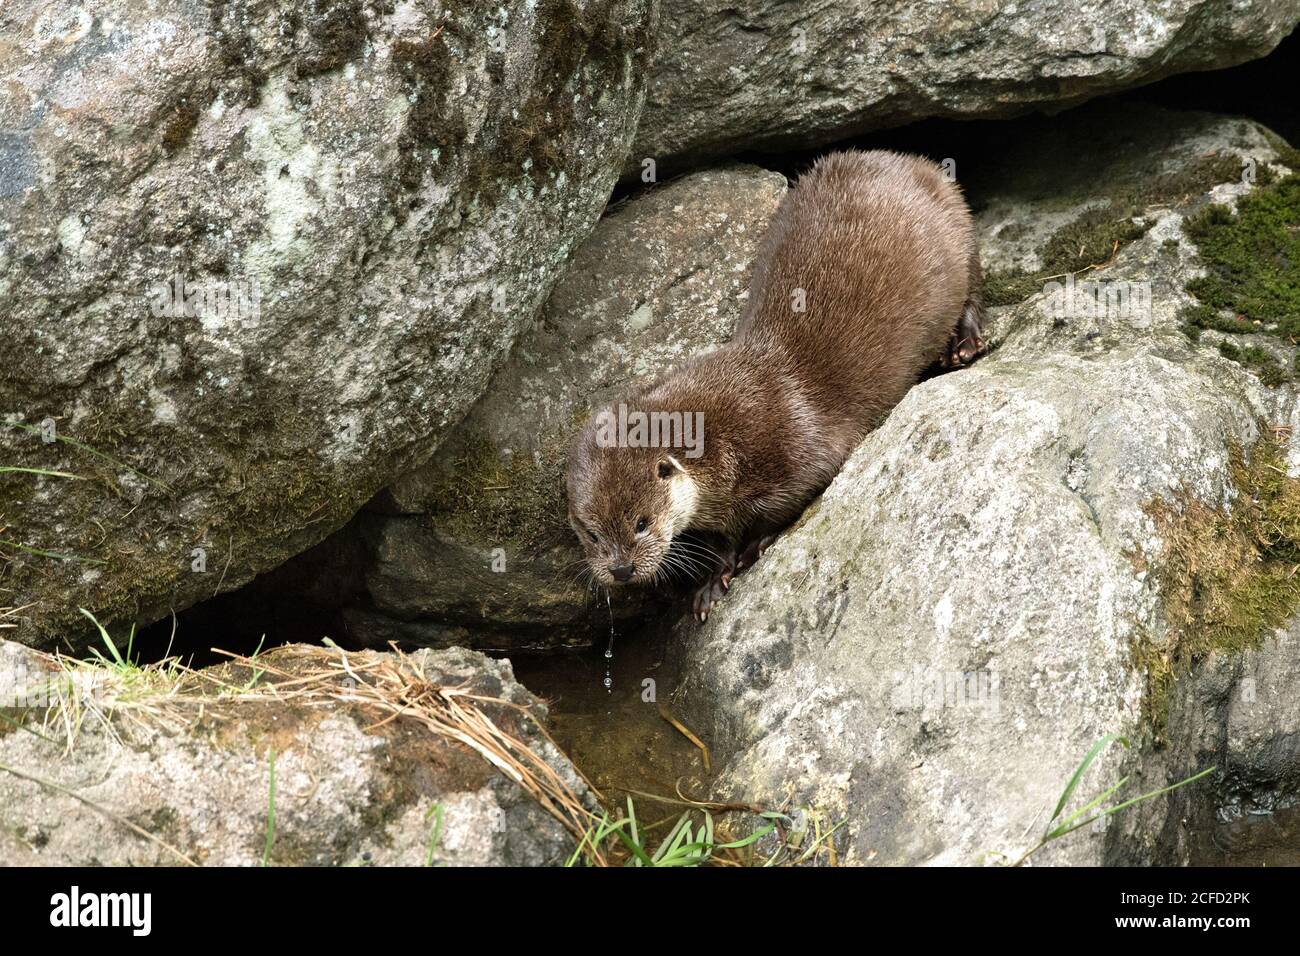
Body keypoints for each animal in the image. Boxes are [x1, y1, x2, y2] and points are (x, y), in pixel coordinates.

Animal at [566, 150, 984, 620]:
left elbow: (787, 500)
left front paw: (753, 547)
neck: (724, 441)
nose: (621, 570)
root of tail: (912, 161)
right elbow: (718, 540)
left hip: (960, 229)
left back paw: (965, 345)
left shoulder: (797, 444)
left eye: (641, 522)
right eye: (591, 533)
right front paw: (711, 581)